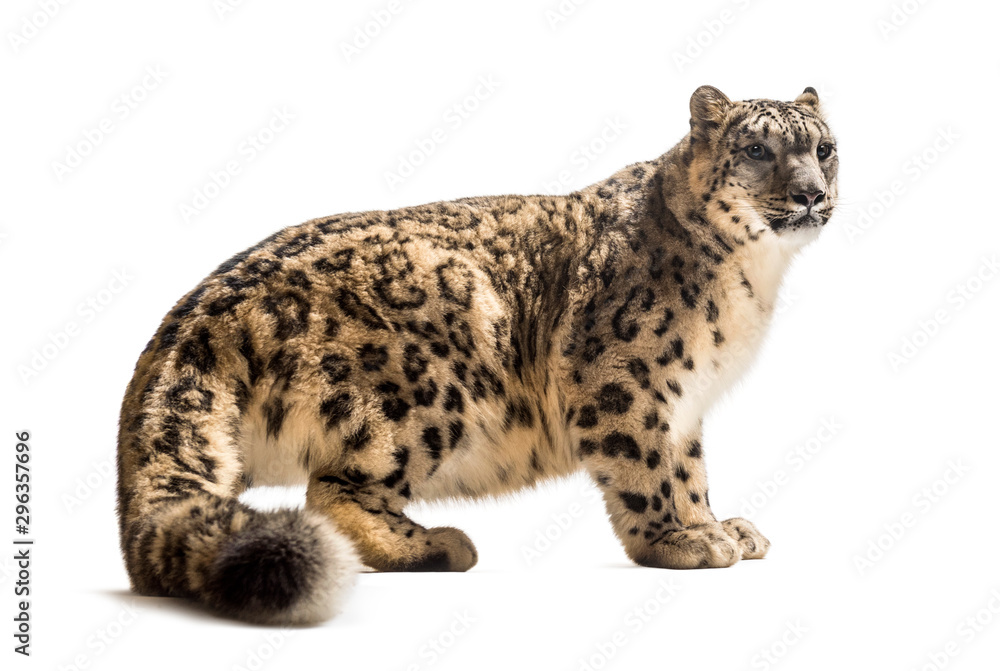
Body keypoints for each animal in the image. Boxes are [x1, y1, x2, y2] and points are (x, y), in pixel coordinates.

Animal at [116, 85, 838, 624]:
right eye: (756, 148)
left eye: (824, 148)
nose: (811, 193)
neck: (753, 280)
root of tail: (192, 319)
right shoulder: (624, 381)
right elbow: (645, 468)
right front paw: (680, 539)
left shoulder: (684, 404)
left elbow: (688, 471)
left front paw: (719, 524)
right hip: (425, 389)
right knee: (333, 487)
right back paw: (439, 545)